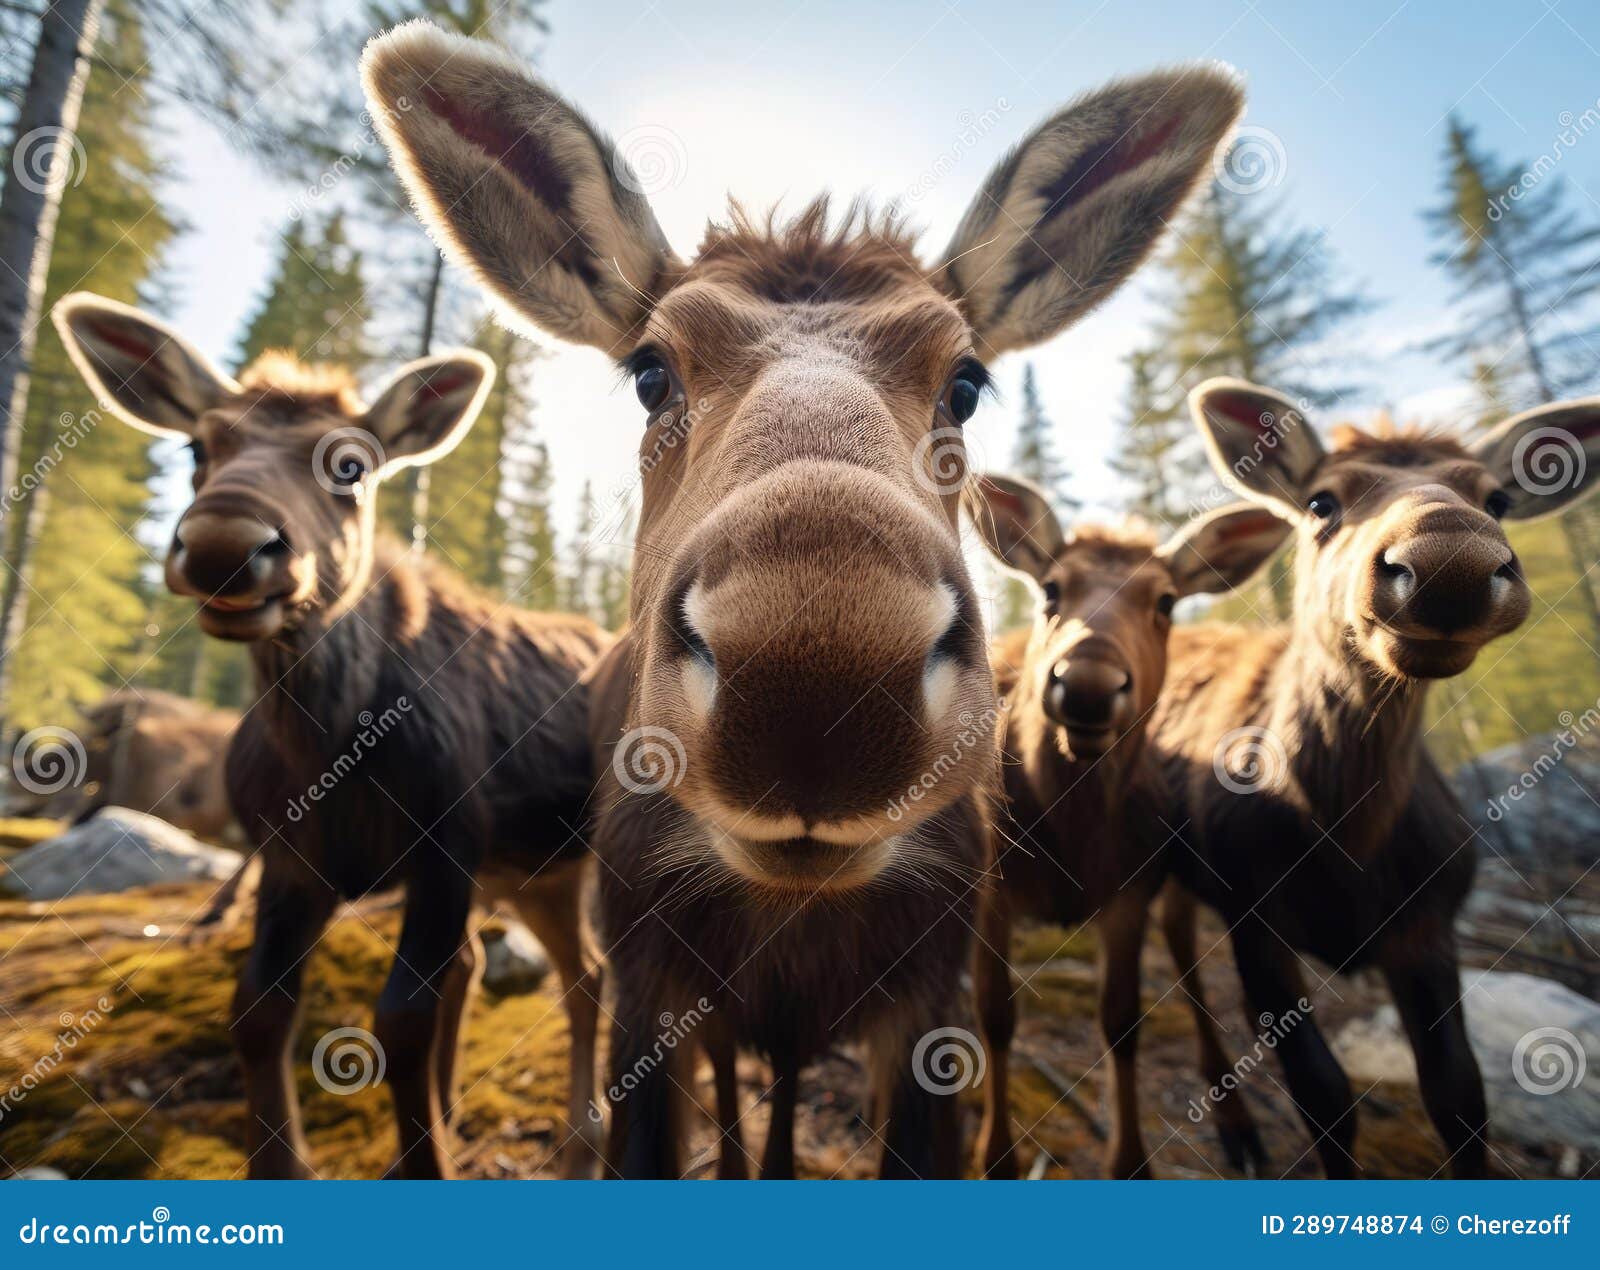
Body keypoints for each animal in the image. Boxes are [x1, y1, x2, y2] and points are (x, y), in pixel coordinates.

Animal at [53, 294, 611, 1180]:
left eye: (352, 466)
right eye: (197, 447)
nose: (224, 543)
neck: (324, 750)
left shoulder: (447, 844)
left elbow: (400, 1021)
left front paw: (427, 1161)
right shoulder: (290, 860)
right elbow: (257, 1012)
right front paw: (284, 1159)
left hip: (565, 859)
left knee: (585, 974)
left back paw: (583, 1134)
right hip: (521, 869)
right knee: (501, 964)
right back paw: (468, 1112)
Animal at [967, 474, 1288, 1178]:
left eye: (1165, 601)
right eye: (1051, 589)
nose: (1087, 683)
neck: (1071, 835)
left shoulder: (1131, 891)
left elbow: (1121, 1022)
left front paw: (1130, 1156)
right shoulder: (990, 891)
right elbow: (995, 1016)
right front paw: (995, 1154)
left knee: (1188, 958)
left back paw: (1237, 1120)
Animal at [1147, 376, 1600, 1177]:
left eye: (1497, 497)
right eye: (1321, 502)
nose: (1451, 558)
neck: (1346, 828)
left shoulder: (1429, 928)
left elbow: (1461, 1099)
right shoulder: (1251, 915)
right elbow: (1323, 1096)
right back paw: (1238, 1132)